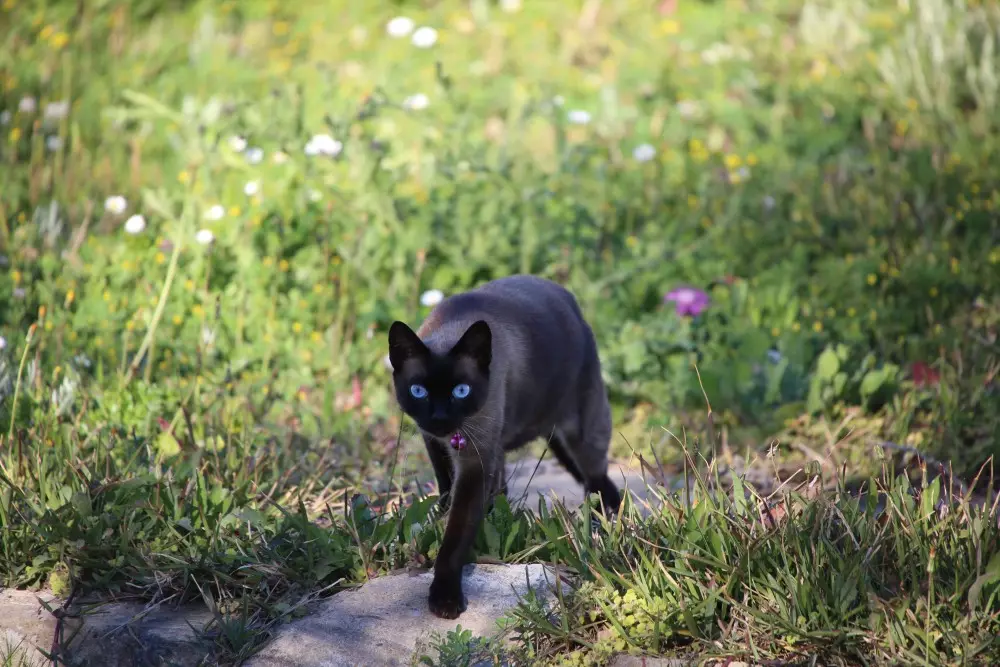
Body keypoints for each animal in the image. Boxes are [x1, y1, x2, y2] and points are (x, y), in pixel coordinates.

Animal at [386, 274, 620, 620]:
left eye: (461, 390)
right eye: (419, 391)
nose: (440, 417)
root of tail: (565, 293)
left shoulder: (474, 460)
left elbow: (455, 536)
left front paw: (445, 599)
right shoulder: (435, 442)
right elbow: (446, 493)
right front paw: (443, 521)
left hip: (581, 435)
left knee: (600, 481)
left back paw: (602, 524)